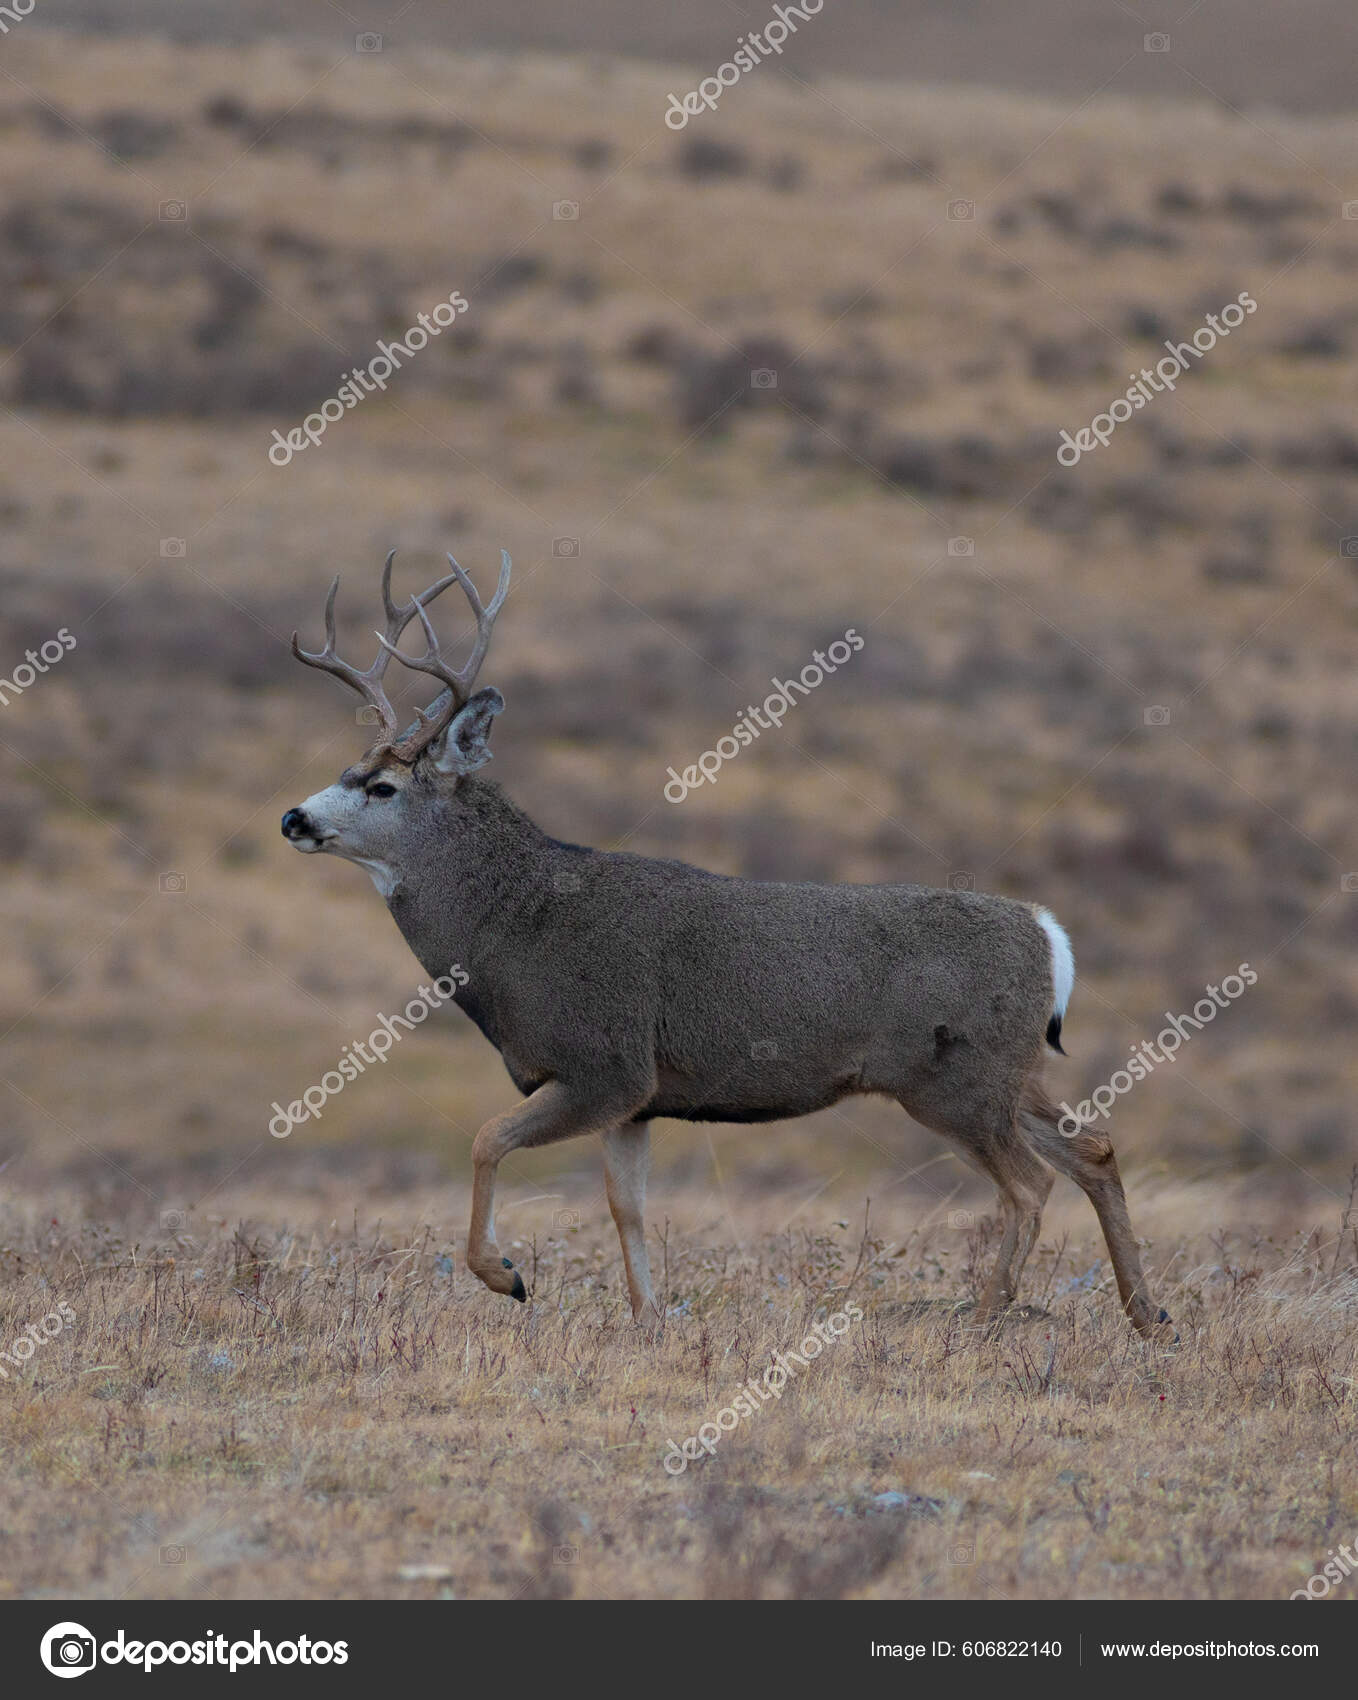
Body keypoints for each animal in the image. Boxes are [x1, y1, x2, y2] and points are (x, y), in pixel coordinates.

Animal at [281, 550, 1171, 1339]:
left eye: (382, 786)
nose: (293, 817)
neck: (513, 932)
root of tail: (1048, 935)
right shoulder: (637, 1097)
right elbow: (626, 1206)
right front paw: (647, 1319)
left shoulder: (603, 1062)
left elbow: (485, 1139)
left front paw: (506, 1276)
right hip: (1009, 1073)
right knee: (1093, 1149)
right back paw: (1147, 1315)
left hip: (956, 1078)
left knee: (1028, 1186)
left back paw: (984, 1322)